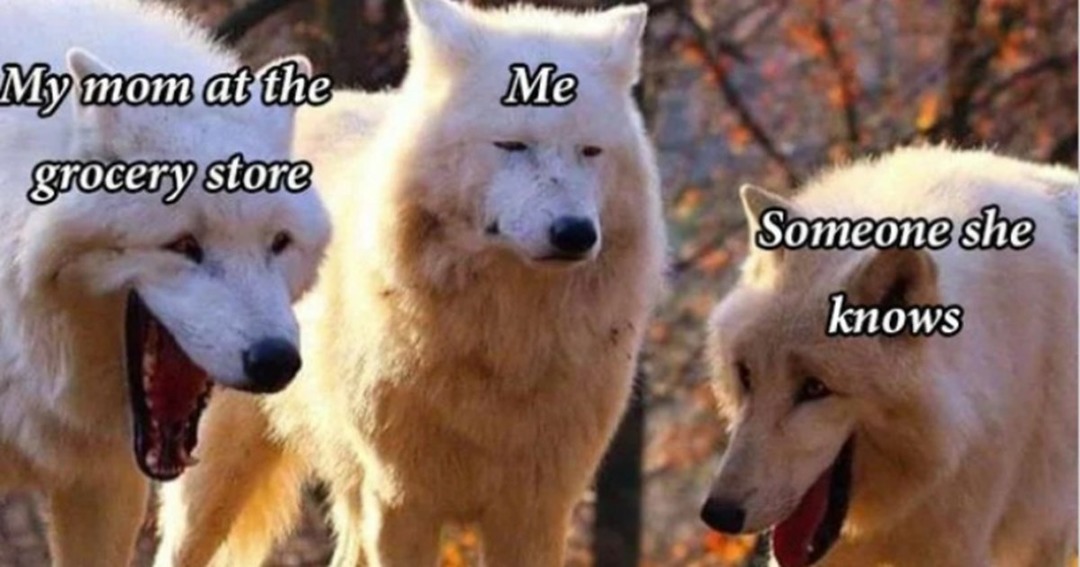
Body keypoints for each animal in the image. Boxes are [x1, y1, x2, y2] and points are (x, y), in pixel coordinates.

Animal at [154, 0, 666, 565]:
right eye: (512, 145)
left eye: (590, 151)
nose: (576, 233)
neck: (504, 340)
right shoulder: (401, 501)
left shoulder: (537, 511)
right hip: (215, 476)